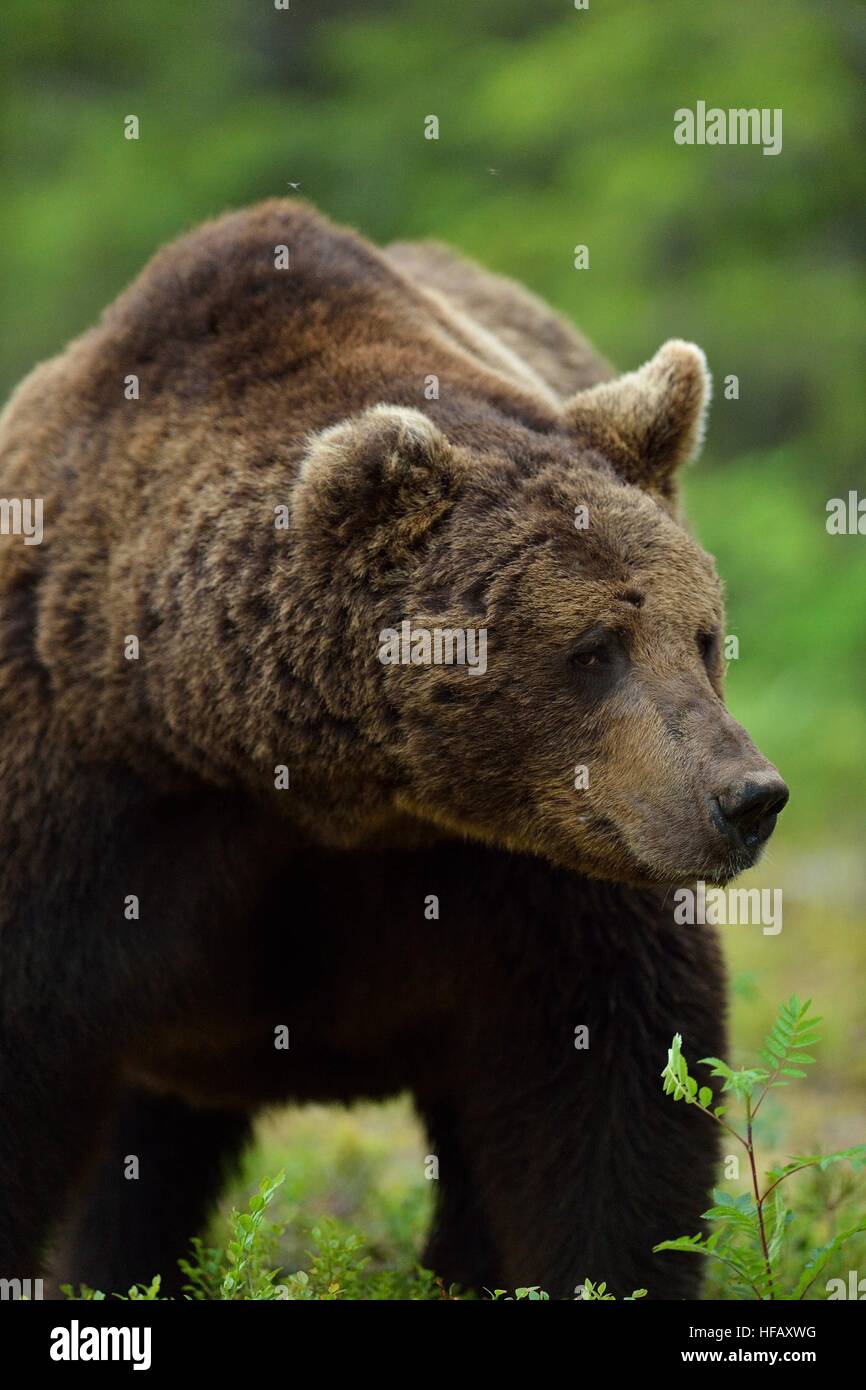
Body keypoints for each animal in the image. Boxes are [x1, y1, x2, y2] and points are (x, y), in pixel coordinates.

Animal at [0, 199, 788, 1300]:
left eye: (703, 635)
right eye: (594, 648)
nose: (746, 796)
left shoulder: (524, 865)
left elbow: (611, 1072)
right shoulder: (88, 794)